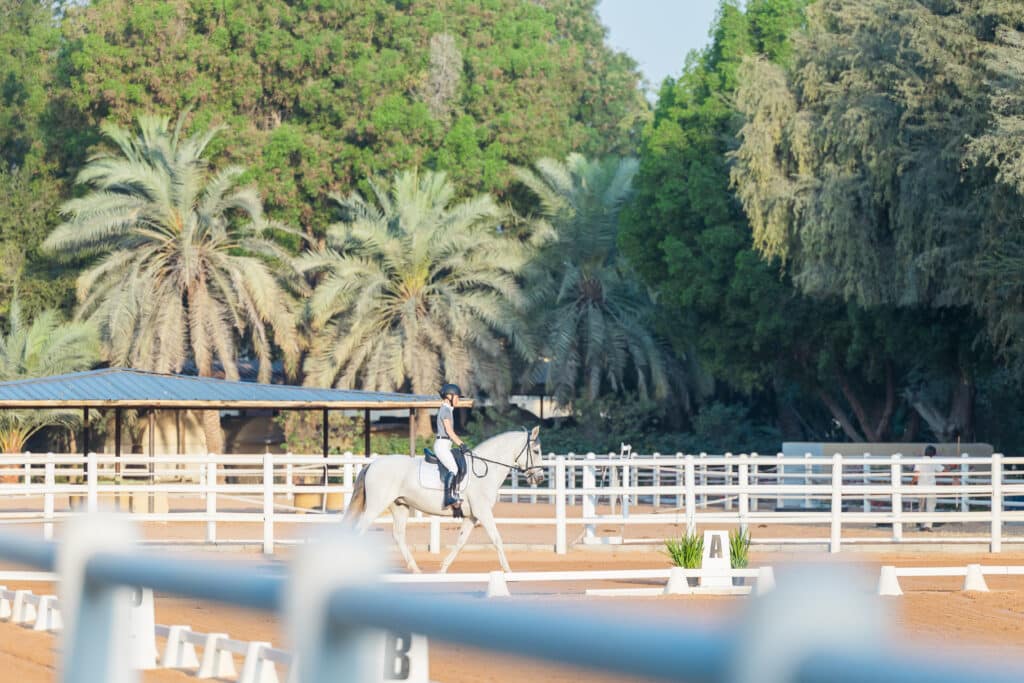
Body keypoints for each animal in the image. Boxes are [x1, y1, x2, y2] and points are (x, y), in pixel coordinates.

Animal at [342, 427, 545, 573]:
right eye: (535, 451)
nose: (540, 478)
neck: (484, 470)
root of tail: (372, 465)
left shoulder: (472, 516)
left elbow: (461, 542)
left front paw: (443, 568)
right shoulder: (483, 512)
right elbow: (497, 539)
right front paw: (508, 571)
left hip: (400, 506)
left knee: (398, 535)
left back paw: (415, 569)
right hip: (376, 507)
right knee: (360, 531)